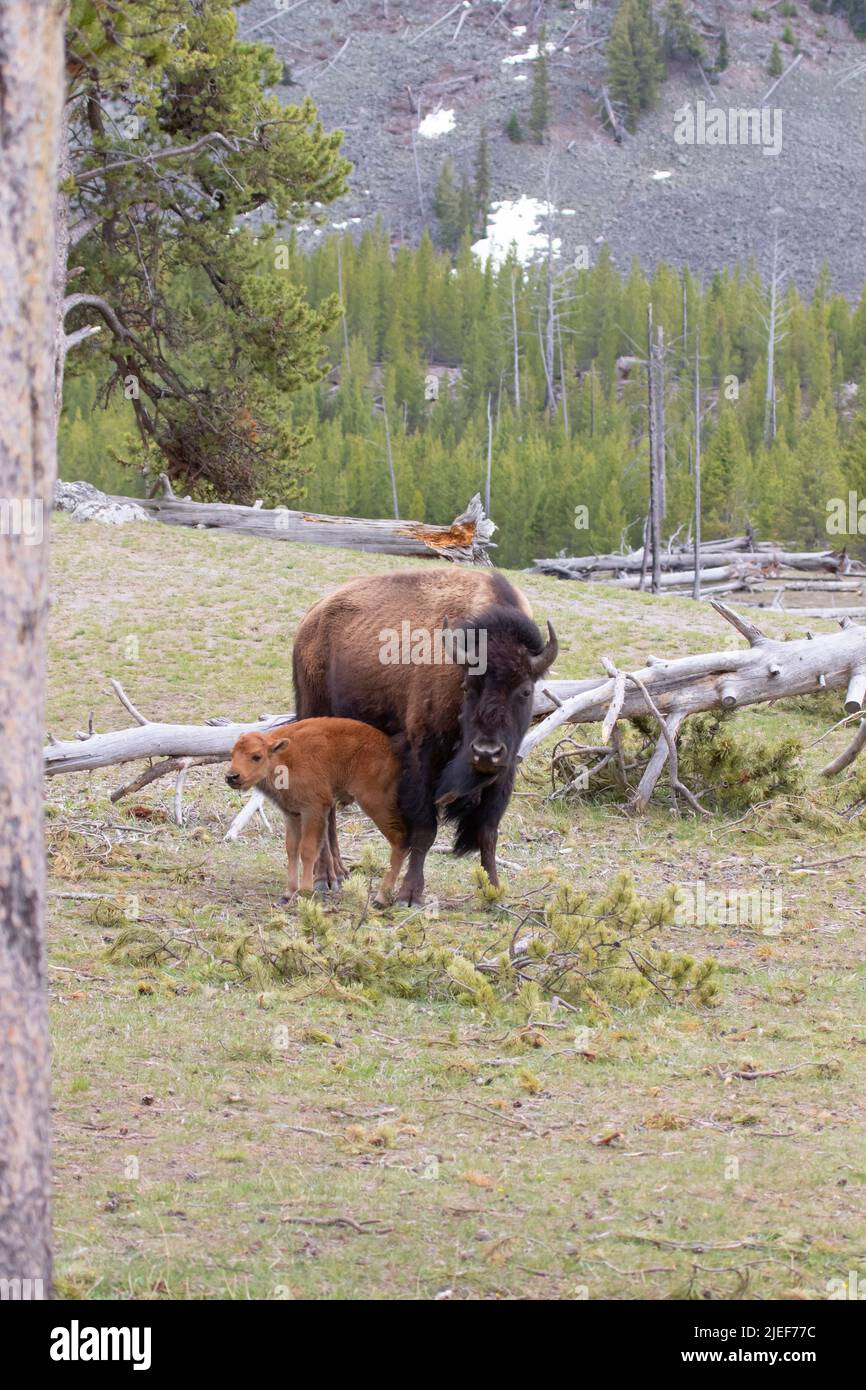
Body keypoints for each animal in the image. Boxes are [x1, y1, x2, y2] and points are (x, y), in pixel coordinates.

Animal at [226, 719, 408, 906]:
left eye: (256, 756)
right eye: (232, 754)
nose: (231, 777)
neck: (284, 757)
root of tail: (391, 750)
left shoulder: (313, 810)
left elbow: (307, 849)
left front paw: (305, 891)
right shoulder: (292, 814)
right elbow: (291, 849)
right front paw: (288, 894)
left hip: (375, 803)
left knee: (399, 840)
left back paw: (380, 899)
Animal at [292, 570, 557, 905]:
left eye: (525, 691)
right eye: (468, 687)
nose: (486, 752)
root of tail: (310, 619)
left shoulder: (504, 770)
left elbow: (488, 831)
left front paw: (494, 891)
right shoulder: (423, 758)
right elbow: (425, 830)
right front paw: (409, 894)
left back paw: (339, 872)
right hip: (314, 717)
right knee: (321, 808)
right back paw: (326, 877)